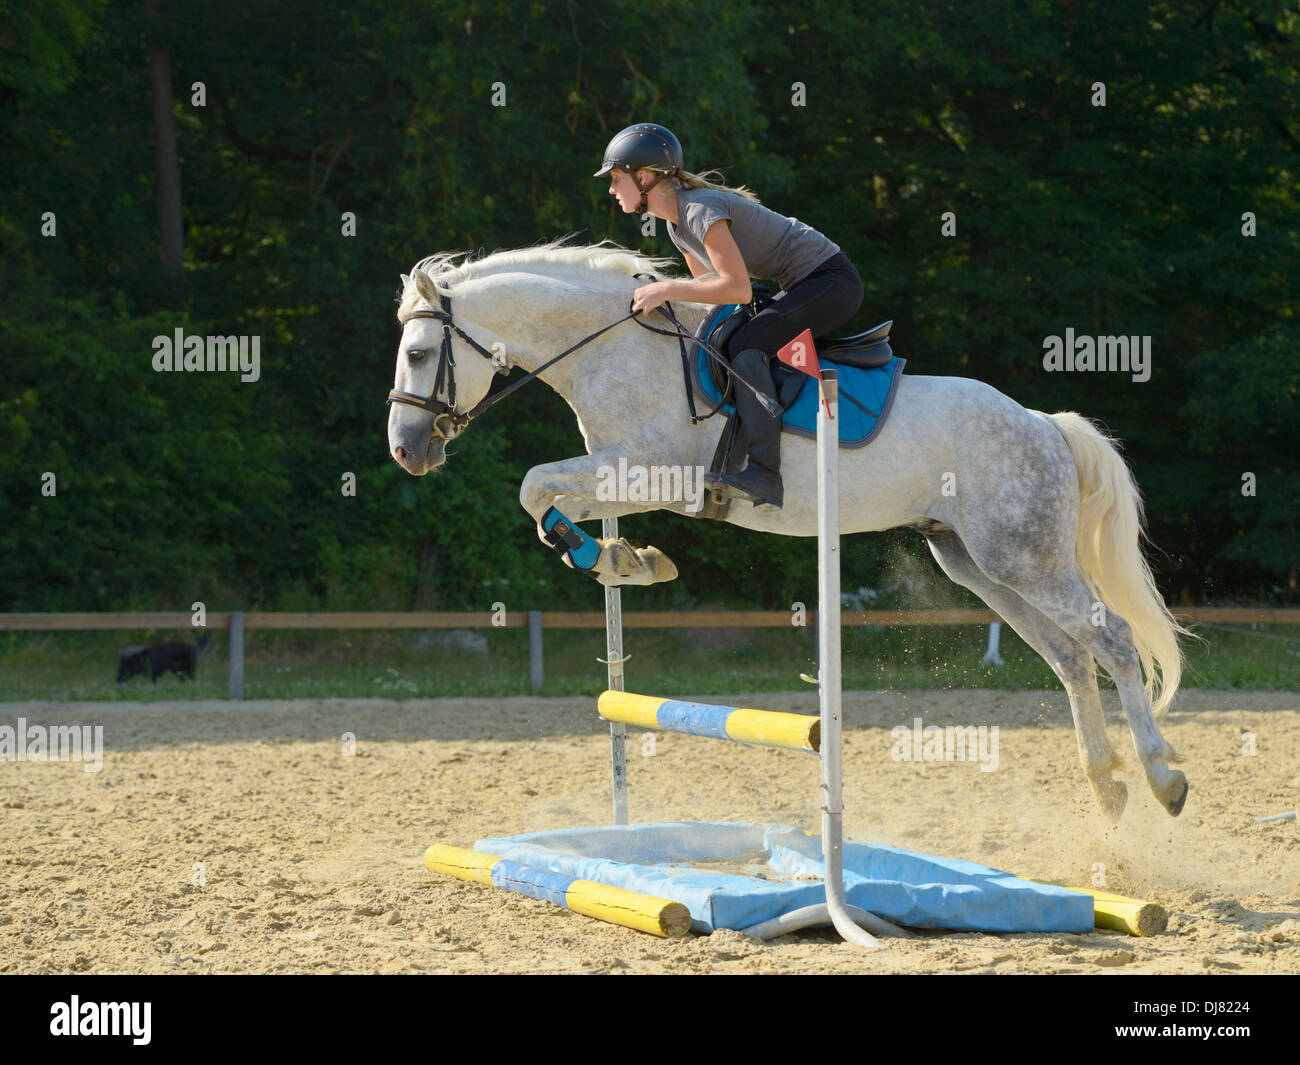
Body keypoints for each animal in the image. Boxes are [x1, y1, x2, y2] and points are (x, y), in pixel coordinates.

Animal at [385, 238, 1190, 823]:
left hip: (1024, 557)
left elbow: (530, 484)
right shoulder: (614, 474)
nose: (405, 451)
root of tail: (1045, 424)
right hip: (978, 562)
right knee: (1071, 657)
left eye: (420, 355)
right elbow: (543, 499)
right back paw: (1107, 785)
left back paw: (1160, 778)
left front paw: (624, 560)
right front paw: (623, 559)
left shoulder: (652, 471)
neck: (613, 350)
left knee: (1114, 639)